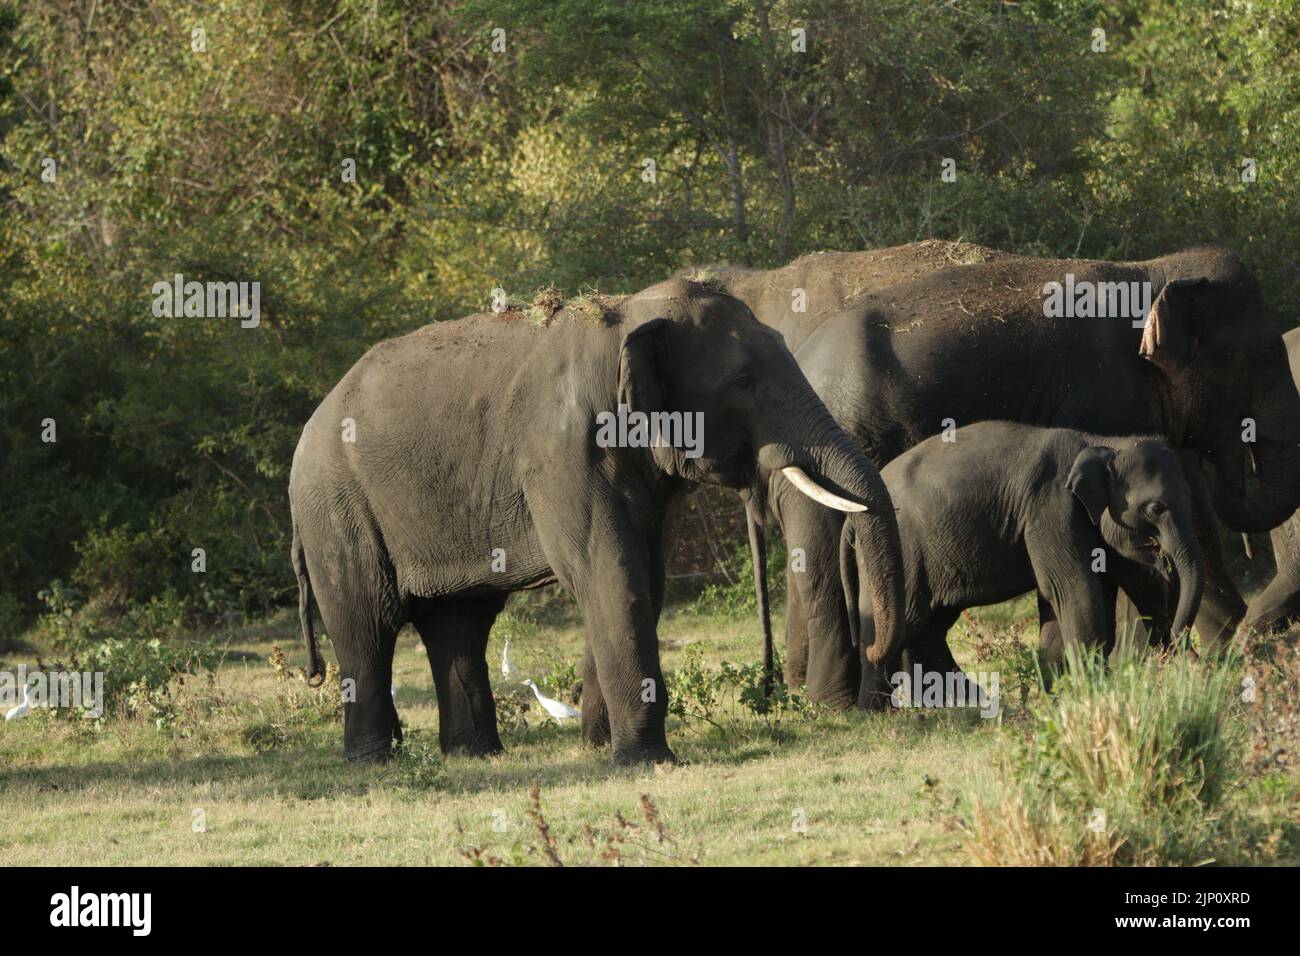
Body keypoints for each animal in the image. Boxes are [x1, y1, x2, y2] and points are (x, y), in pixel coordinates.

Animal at [288, 277, 907, 765]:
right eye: (743, 381)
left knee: (459, 623)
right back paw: (374, 760)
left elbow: (643, 576)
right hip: (336, 506)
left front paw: (599, 745)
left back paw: (474, 755)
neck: (629, 314)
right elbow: (606, 568)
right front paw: (645, 761)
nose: (876, 651)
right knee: (367, 623)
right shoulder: (558, 452)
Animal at [840, 422, 1206, 705]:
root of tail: (853, 515)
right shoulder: (1050, 507)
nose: (1188, 653)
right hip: (899, 549)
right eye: (1155, 509)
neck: (1102, 442)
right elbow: (1072, 590)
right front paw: (1092, 695)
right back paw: (878, 713)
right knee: (900, 621)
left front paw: (1056, 697)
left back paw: (964, 705)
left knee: (930, 624)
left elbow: (1126, 586)